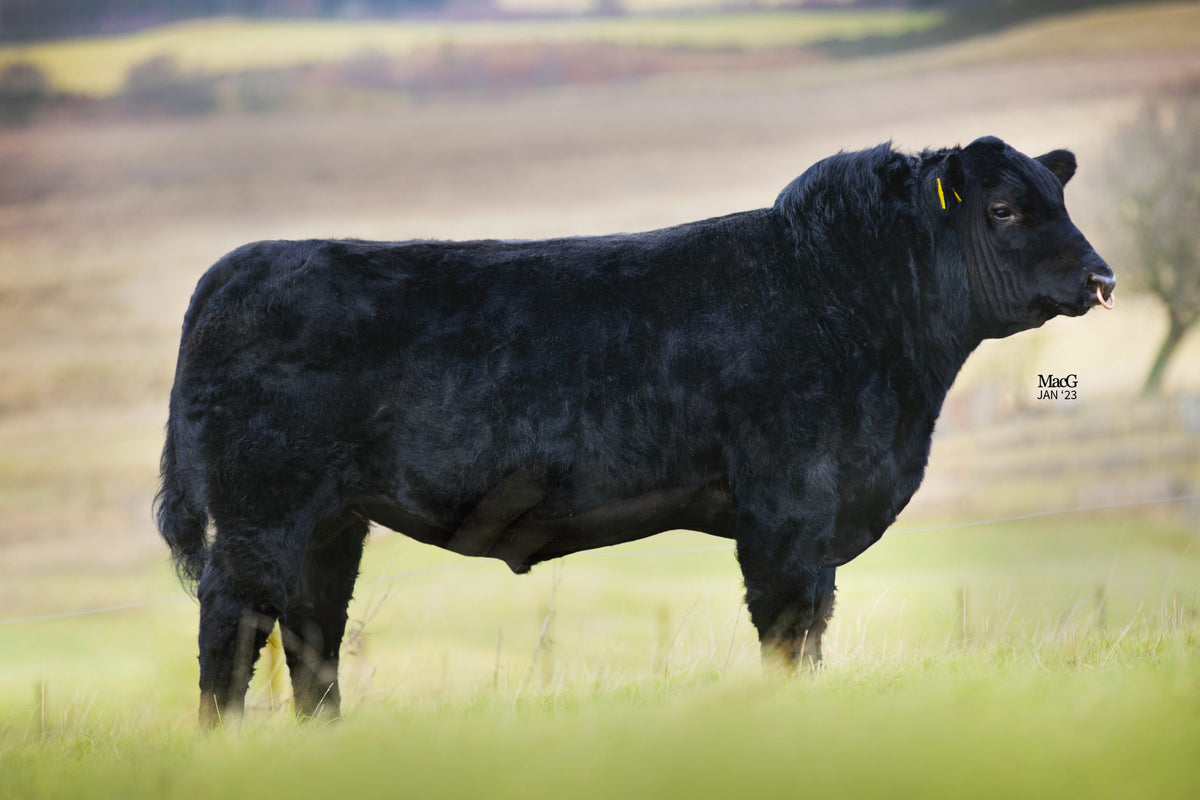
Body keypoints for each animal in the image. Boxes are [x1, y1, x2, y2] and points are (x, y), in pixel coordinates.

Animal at [155, 136, 1114, 727]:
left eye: (1060, 197)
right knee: (232, 623)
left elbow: (808, 628)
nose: (1102, 277)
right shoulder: (790, 505)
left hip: (331, 520)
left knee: (312, 631)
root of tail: (240, 265)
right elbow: (789, 628)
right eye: (1004, 209)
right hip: (261, 512)